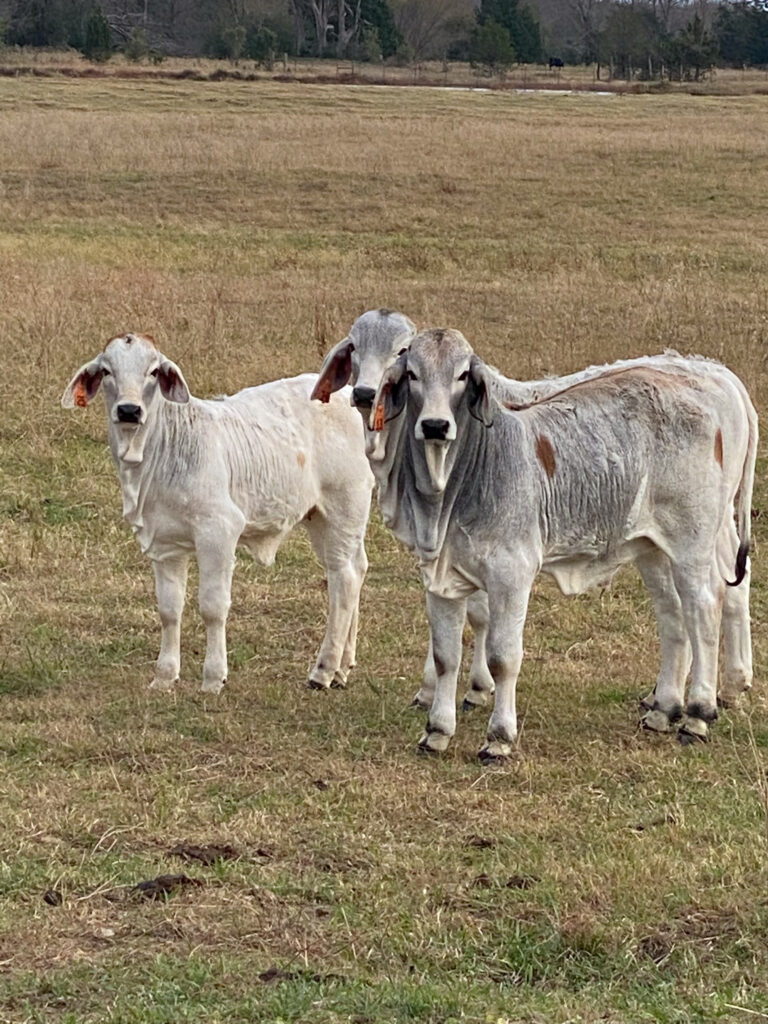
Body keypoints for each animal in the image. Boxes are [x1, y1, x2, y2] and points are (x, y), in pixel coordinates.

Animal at [62, 333, 373, 694]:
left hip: (345, 506)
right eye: (107, 371)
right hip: (323, 518)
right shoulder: (164, 544)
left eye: (153, 371)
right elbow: (169, 608)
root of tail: (345, 396)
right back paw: (341, 668)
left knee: (344, 582)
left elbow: (212, 607)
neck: (159, 453)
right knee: (355, 570)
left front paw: (213, 677)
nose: (128, 410)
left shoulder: (218, 532)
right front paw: (164, 675)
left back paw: (323, 670)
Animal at [313, 311, 755, 719]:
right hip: (658, 545)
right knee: (688, 605)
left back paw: (716, 693)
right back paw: (680, 697)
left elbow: (481, 618)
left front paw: (468, 689)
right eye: (355, 347)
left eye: (400, 349)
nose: (365, 394)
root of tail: (718, 374)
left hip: (699, 535)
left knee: (716, 595)